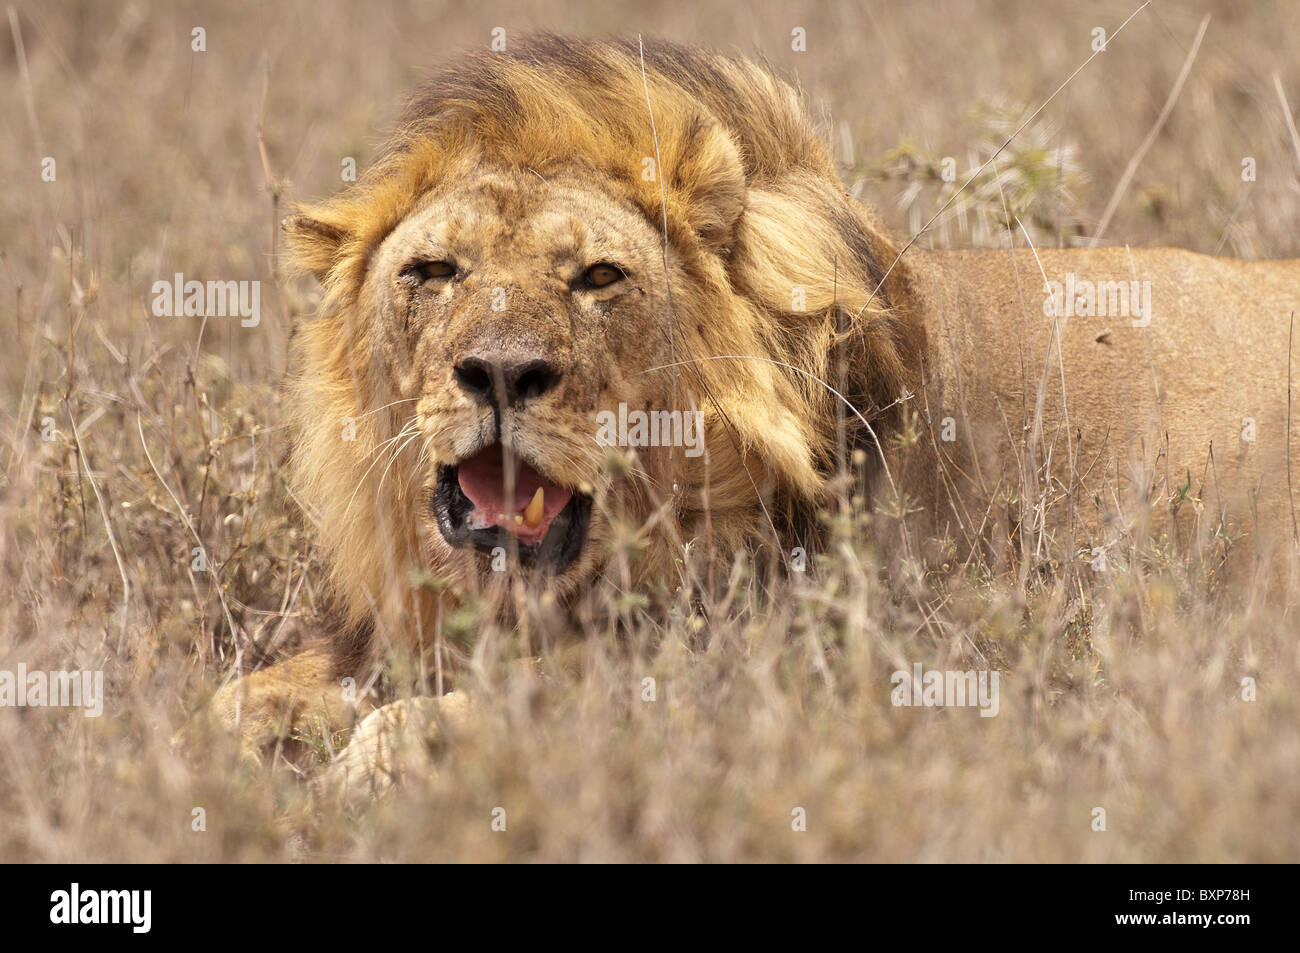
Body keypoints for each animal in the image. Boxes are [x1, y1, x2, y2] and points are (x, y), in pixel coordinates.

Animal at [212, 34, 1300, 764]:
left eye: (598, 278)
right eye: (434, 271)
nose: (501, 373)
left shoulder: (739, 656)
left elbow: (476, 709)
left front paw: (375, 757)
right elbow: (230, 700)